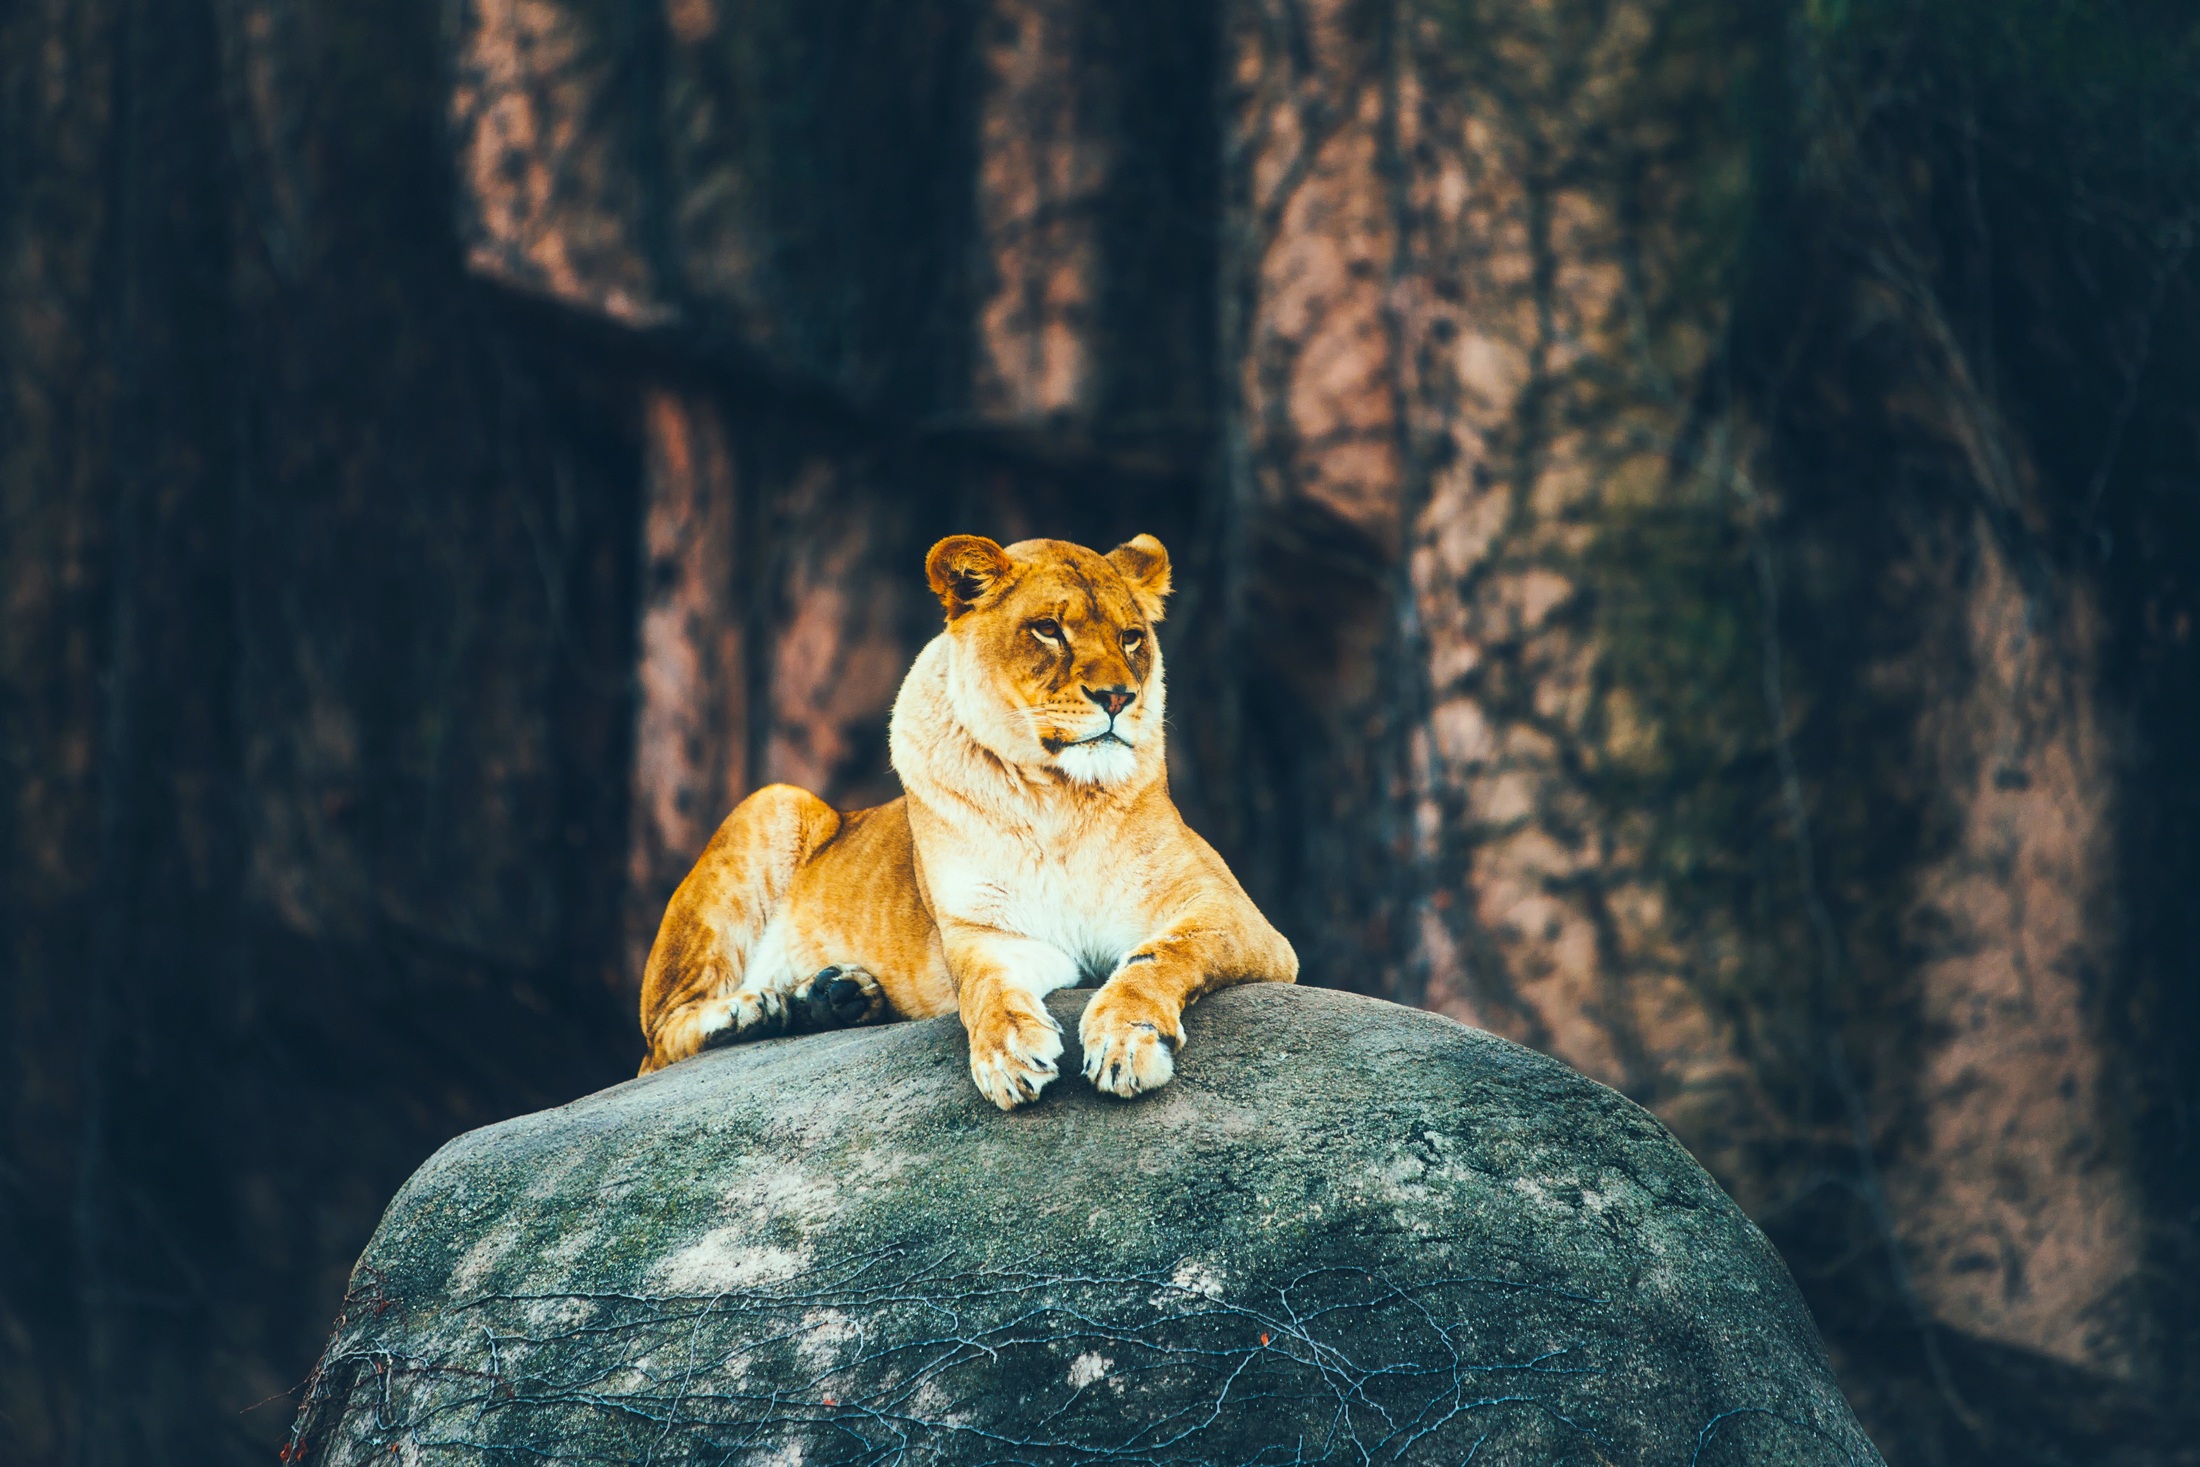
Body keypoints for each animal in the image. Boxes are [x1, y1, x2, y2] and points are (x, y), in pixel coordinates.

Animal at [636, 532, 1299, 1108]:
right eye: (1048, 629)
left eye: (1132, 638)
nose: (1118, 697)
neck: (1058, 799)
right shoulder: (985, 929)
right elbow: (985, 989)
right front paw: (1008, 1055)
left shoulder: (1234, 916)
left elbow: (1161, 956)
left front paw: (1125, 1038)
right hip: (774, 801)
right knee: (661, 1040)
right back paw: (755, 1008)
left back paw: (831, 997)